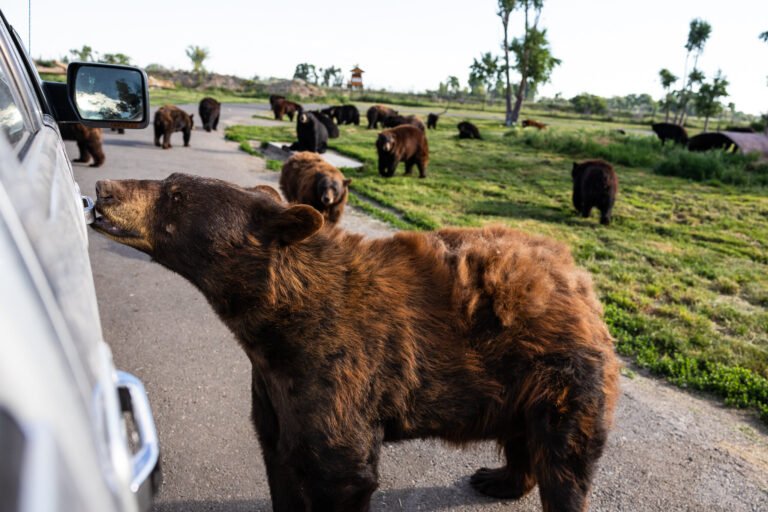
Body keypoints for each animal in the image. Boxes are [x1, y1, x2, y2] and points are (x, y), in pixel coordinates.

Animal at [92, 172, 620, 512]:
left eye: (176, 194)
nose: (104, 189)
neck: (274, 322)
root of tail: (581, 279)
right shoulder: (274, 382)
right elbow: (277, 453)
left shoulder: (341, 368)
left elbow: (339, 468)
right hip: (520, 377)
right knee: (525, 437)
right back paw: (499, 480)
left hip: (560, 370)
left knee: (564, 459)